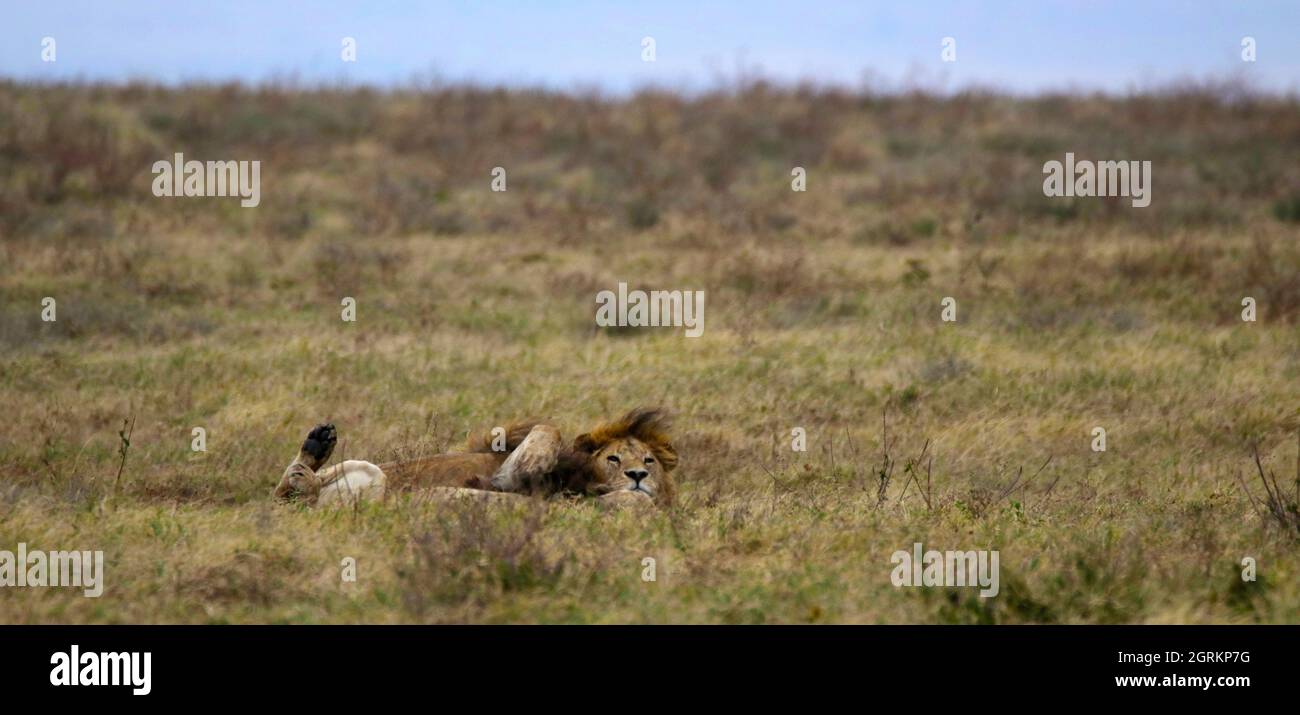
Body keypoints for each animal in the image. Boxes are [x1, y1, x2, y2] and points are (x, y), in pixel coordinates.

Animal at [272, 408, 678, 510]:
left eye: (649, 460)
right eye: (613, 458)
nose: (638, 475)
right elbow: (548, 428)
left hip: (370, 487)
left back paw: (303, 476)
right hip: (366, 470)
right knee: (282, 493)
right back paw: (315, 447)